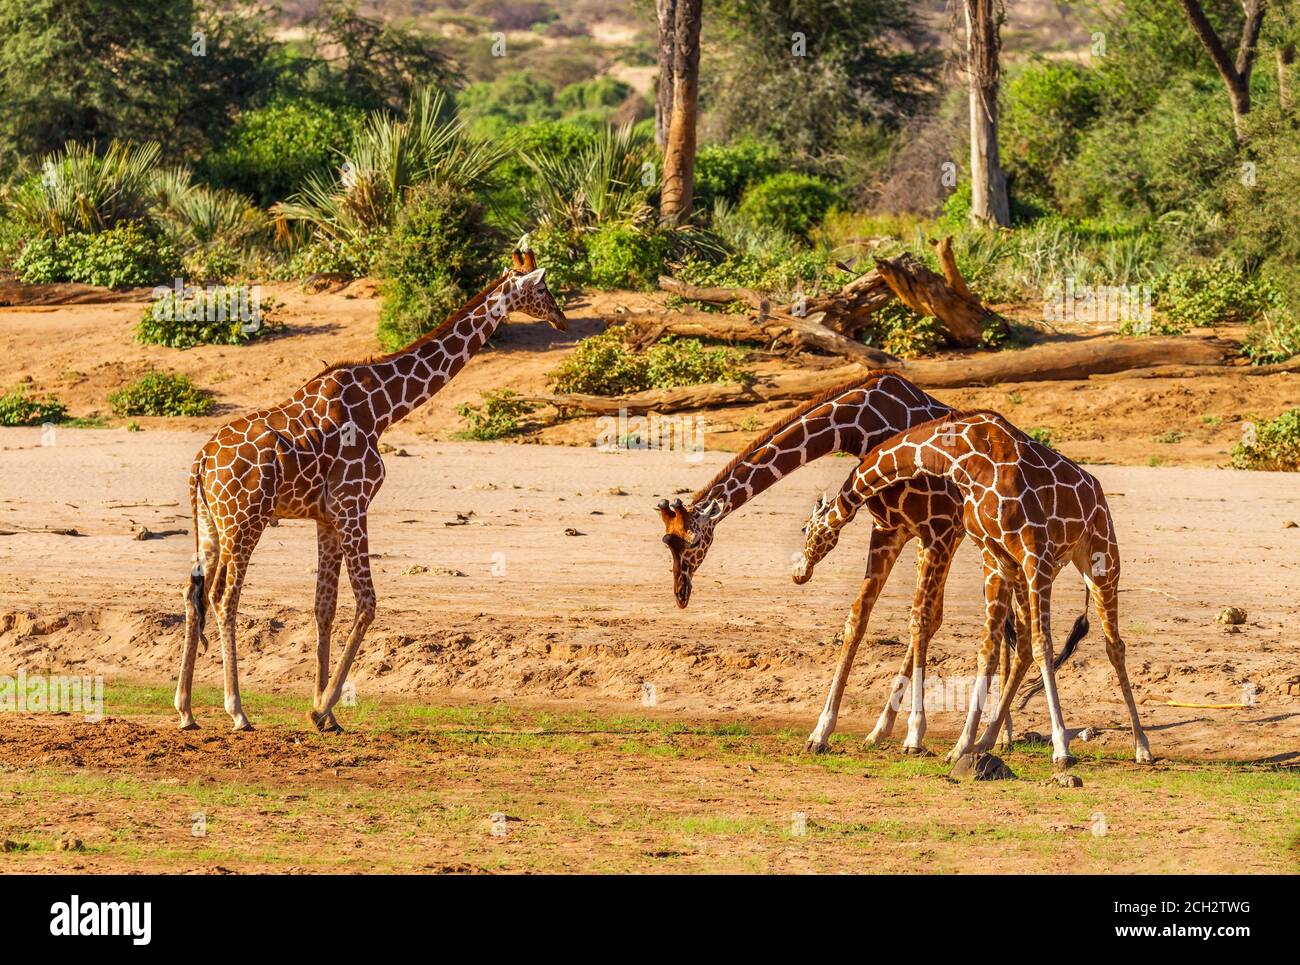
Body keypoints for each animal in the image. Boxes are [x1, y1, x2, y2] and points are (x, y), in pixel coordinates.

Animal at [176, 249, 567, 732]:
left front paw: (323, 711)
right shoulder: (353, 503)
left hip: (210, 523)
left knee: (192, 594)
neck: (383, 408)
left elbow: (324, 606)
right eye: (543, 287)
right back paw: (237, 711)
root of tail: (201, 461)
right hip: (244, 521)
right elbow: (367, 603)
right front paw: (324, 707)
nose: (563, 319)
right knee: (223, 596)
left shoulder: (326, 516)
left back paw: (186, 710)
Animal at [656, 371, 1082, 754]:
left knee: (1002, 627)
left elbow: (919, 621)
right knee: (992, 625)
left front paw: (915, 734)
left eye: (690, 541)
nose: (680, 593)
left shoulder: (938, 529)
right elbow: (861, 617)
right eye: (666, 542)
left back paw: (992, 734)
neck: (859, 425)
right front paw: (822, 731)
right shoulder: (891, 531)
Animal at [796, 410, 1154, 768]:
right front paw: (961, 745)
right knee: (1024, 646)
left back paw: (1142, 747)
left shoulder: (1034, 553)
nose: (800, 572)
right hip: (1034, 572)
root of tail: (1098, 492)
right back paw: (986, 740)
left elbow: (1044, 646)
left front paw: (1061, 749)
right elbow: (988, 652)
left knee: (1114, 646)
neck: (961, 460)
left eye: (803, 528)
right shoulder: (996, 558)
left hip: (1101, 561)